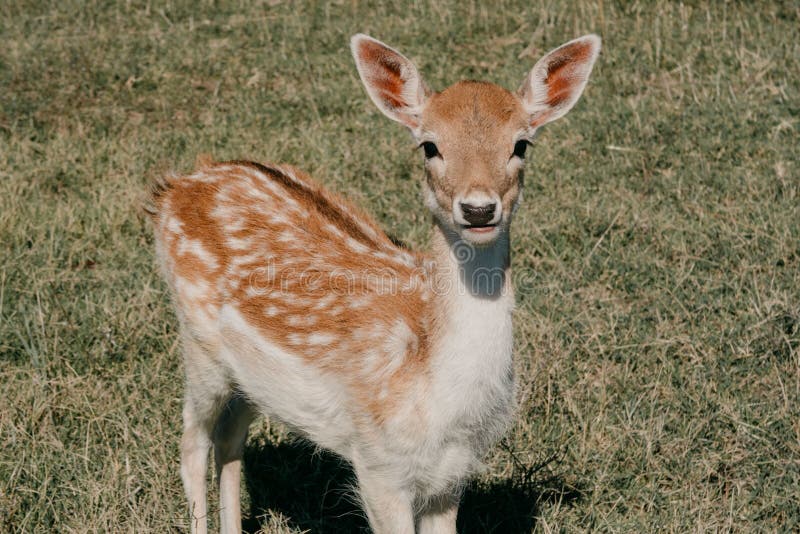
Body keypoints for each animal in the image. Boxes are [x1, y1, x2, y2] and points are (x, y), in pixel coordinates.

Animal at [148, 33, 600, 533]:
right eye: (429, 146)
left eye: (521, 144)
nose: (479, 209)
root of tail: (174, 186)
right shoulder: (378, 463)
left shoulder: (451, 473)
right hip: (197, 343)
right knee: (192, 442)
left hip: (249, 379)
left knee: (230, 438)